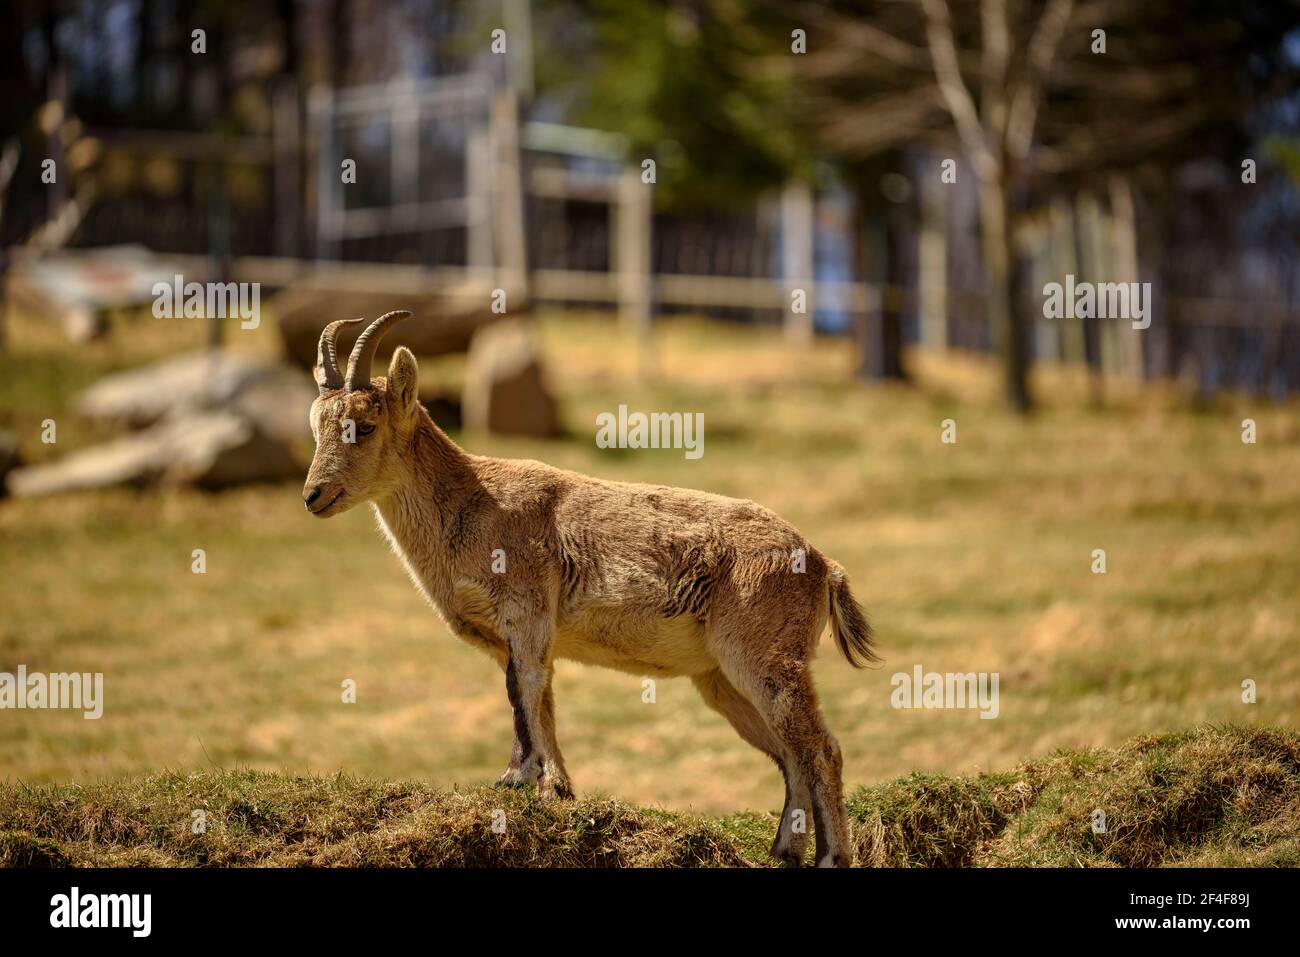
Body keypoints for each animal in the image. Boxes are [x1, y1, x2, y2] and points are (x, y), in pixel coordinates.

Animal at [303, 311, 877, 866]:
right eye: (316, 426)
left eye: (365, 425)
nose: (313, 495)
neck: (474, 504)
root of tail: (823, 566)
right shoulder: (517, 637)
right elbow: (542, 700)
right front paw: (558, 792)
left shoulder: (526, 613)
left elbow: (522, 690)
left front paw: (516, 780)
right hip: (722, 679)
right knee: (790, 753)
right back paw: (785, 851)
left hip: (766, 660)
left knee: (822, 749)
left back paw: (831, 856)